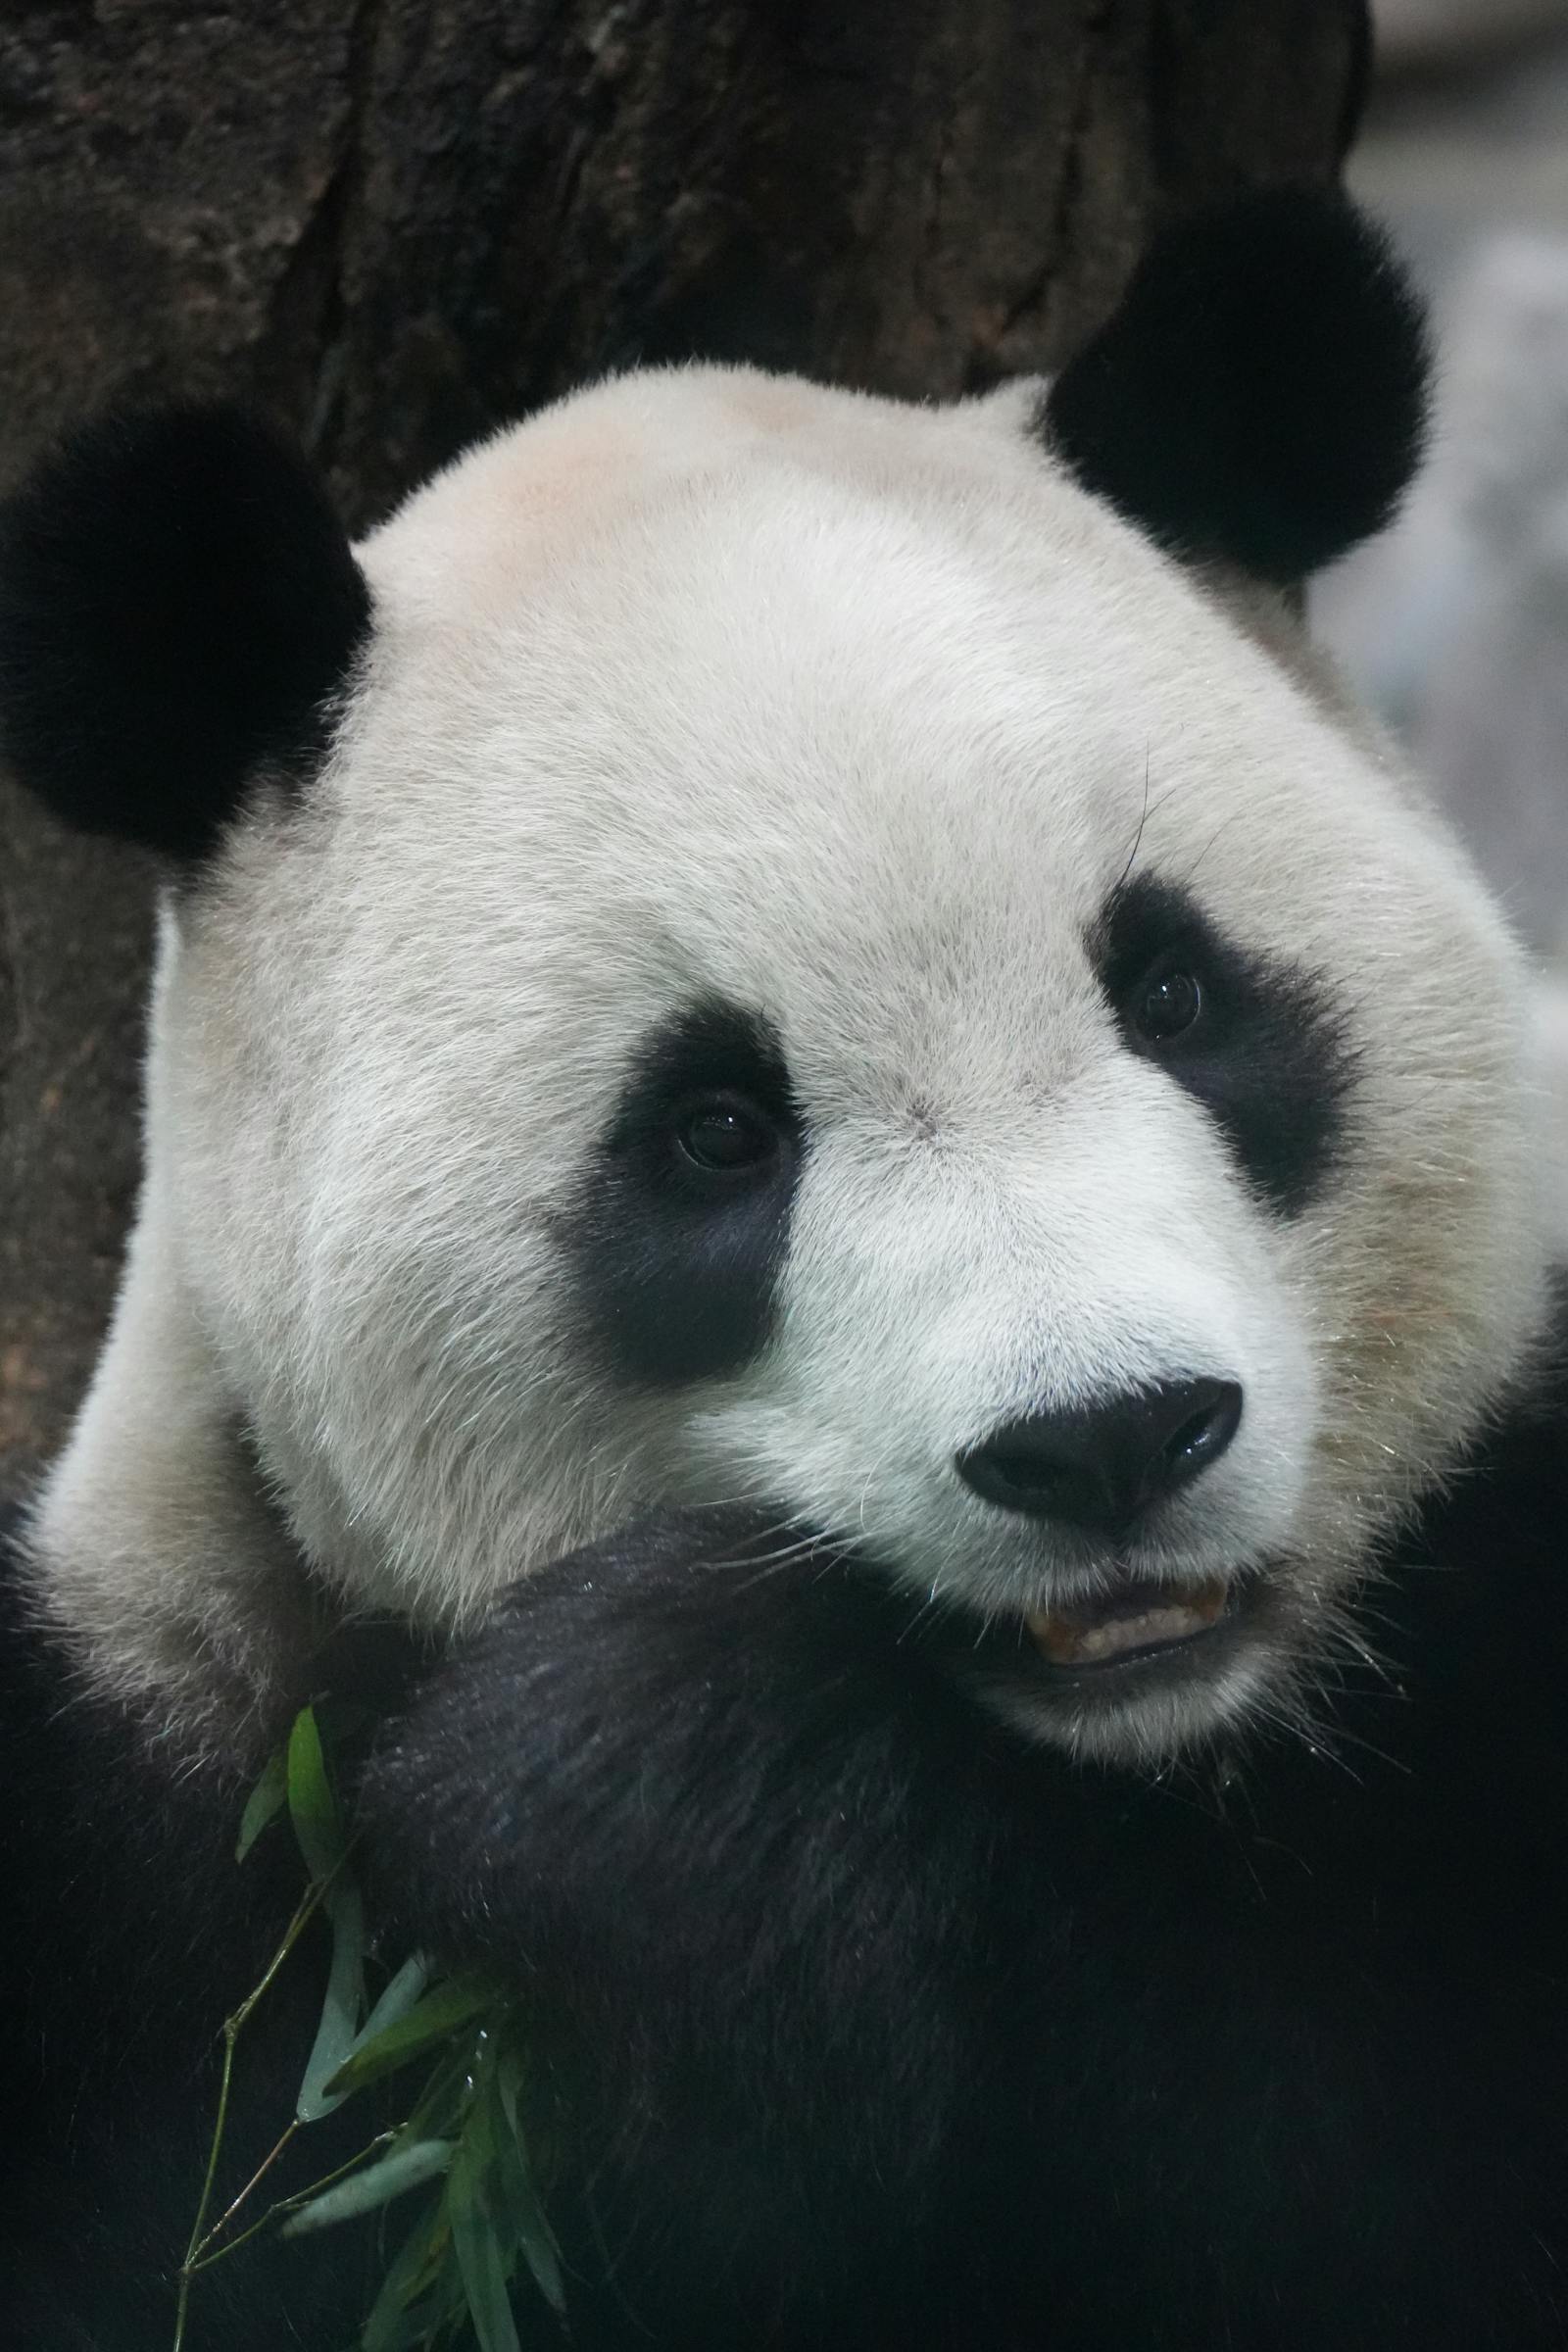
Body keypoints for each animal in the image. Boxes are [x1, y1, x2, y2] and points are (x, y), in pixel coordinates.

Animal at [3, 185, 1567, 2352]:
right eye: (716, 1131)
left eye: (1173, 993)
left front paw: (656, 1783)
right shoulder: (148, 1819)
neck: (1115, 1768)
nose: (1108, 1440)